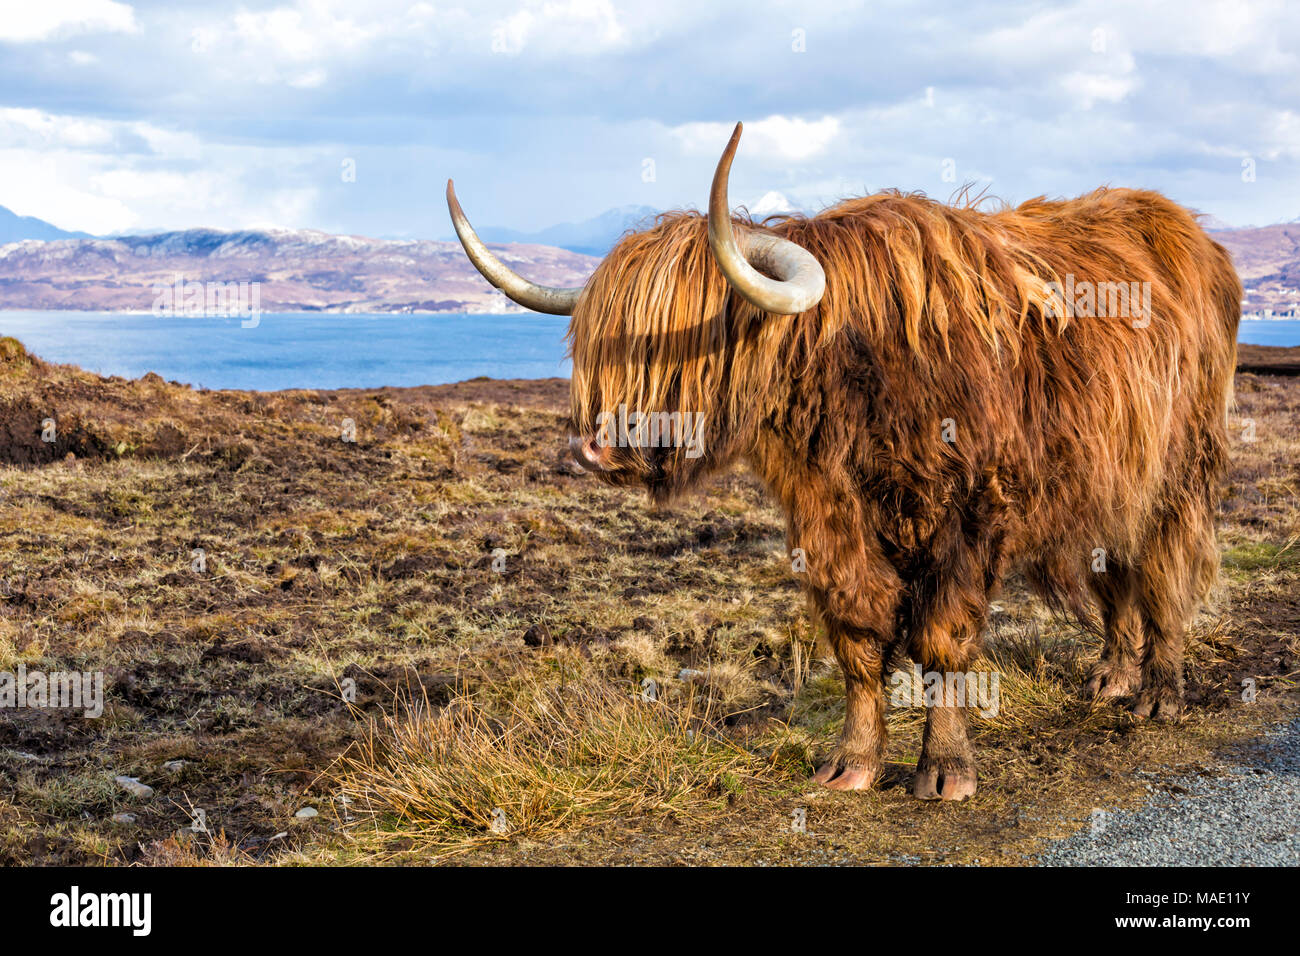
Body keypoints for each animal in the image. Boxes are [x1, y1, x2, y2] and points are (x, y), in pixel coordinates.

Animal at [446, 122, 1241, 800]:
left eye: (686, 337)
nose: (597, 445)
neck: (856, 375)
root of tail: (1185, 229)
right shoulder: (827, 513)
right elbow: (858, 634)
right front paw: (853, 764)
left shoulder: (972, 511)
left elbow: (944, 638)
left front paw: (945, 772)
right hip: (1113, 476)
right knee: (1119, 568)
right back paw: (1113, 676)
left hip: (1180, 466)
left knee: (1165, 566)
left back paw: (1159, 694)